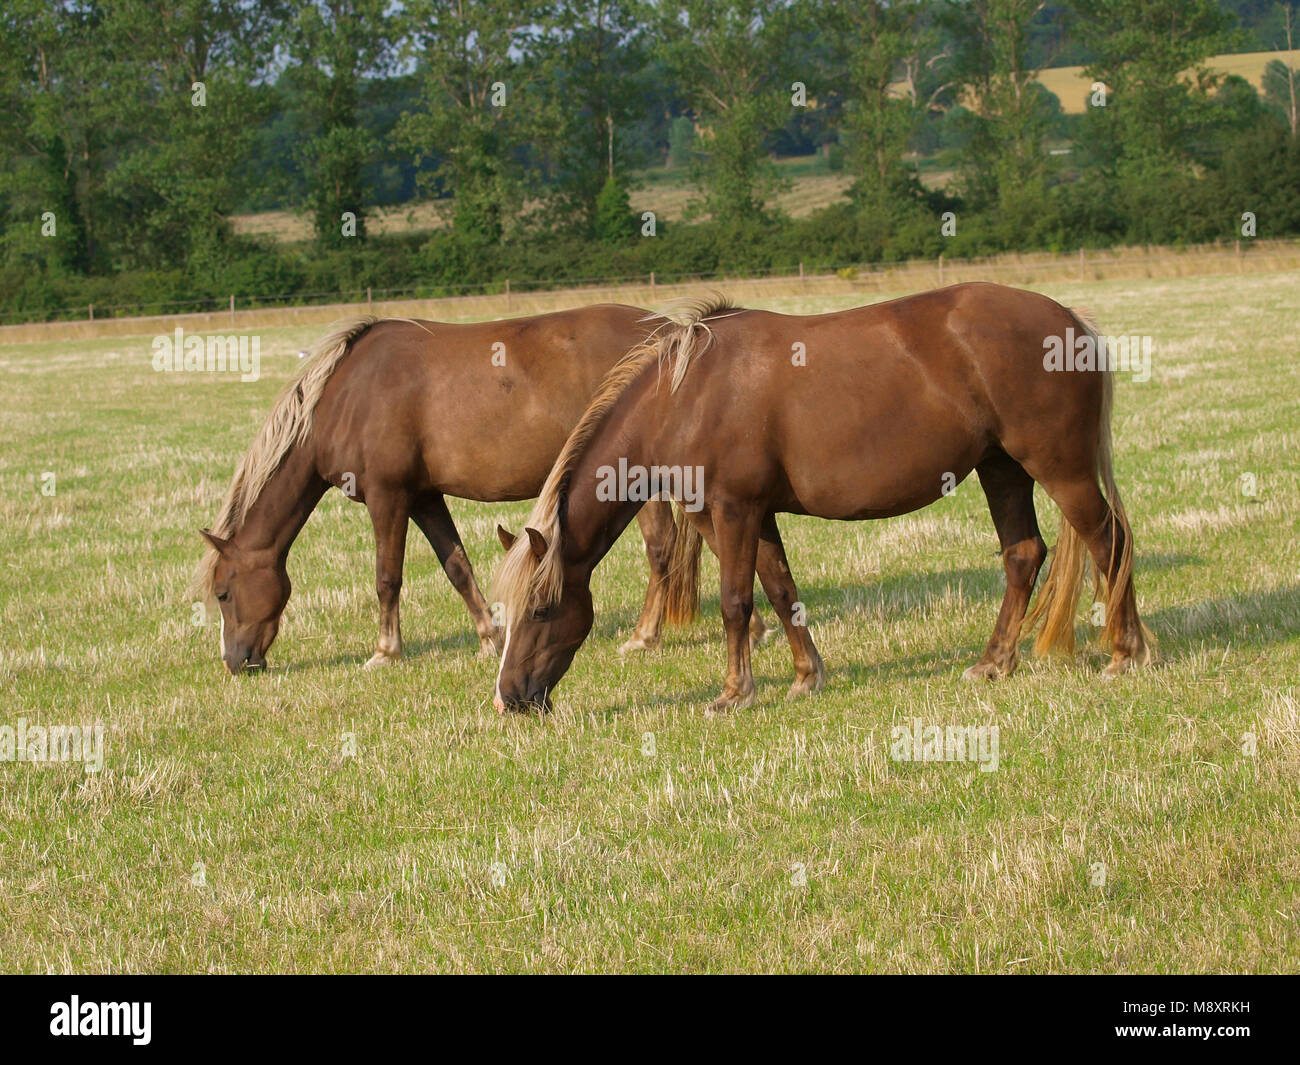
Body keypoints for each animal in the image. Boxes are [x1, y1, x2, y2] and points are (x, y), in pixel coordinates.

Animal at [192, 305, 766, 675]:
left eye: (223, 592)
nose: (235, 662)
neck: (346, 395)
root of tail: (677, 334)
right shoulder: (424, 497)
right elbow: (457, 567)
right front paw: (491, 638)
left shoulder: (387, 497)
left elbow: (387, 577)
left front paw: (384, 650)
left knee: (662, 549)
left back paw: (647, 636)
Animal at [491, 284, 1154, 713]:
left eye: (542, 610)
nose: (510, 698)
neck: (685, 397)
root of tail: (1072, 323)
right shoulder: (753, 517)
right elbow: (782, 591)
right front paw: (806, 676)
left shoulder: (733, 511)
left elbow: (736, 602)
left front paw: (733, 693)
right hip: (1003, 469)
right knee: (1023, 555)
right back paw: (995, 661)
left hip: (1060, 469)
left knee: (1109, 541)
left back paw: (1127, 652)